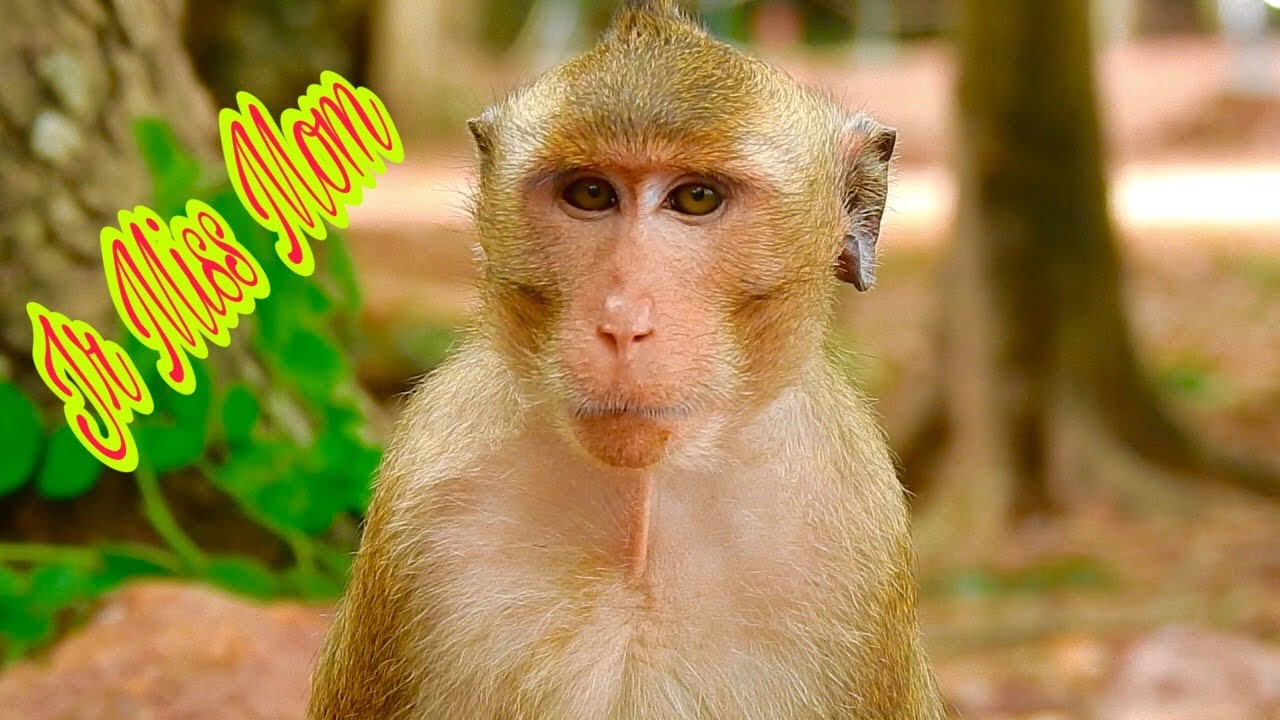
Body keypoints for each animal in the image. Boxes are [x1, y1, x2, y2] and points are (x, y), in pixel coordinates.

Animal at [307, 1, 945, 718]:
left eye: (696, 198)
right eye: (590, 193)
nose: (622, 322)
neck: (640, 522)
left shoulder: (856, 531)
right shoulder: (417, 514)